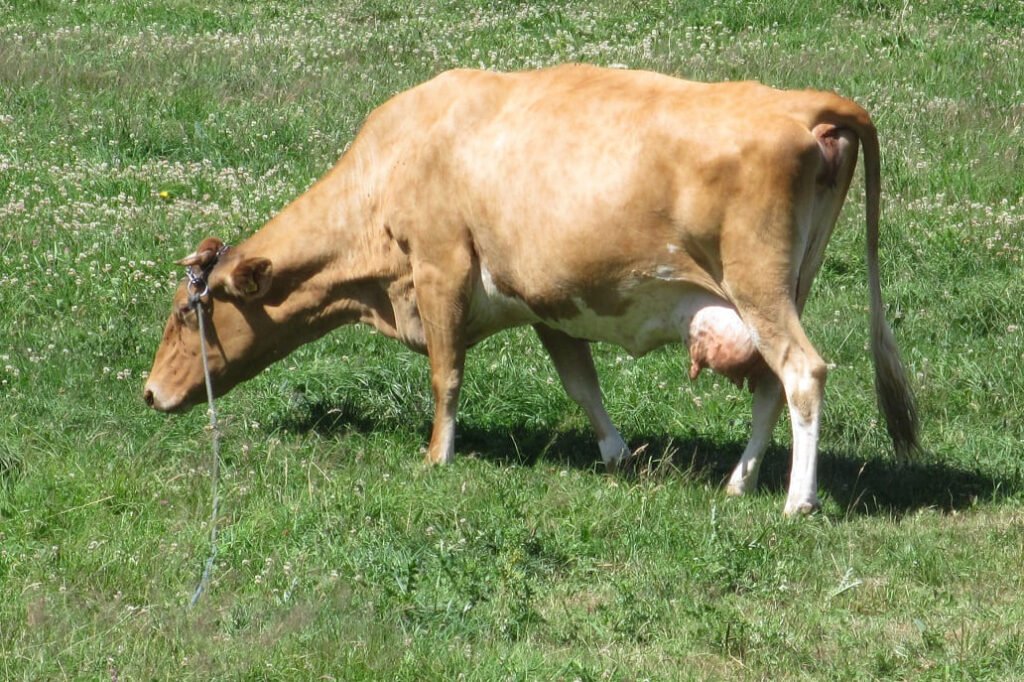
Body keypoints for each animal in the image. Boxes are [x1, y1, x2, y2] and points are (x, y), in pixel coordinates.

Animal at [144, 64, 919, 515]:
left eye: (186, 312)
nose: (149, 393)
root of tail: (803, 103)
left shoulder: (440, 269)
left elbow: (446, 376)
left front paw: (437, 457)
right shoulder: (548, 299)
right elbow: (581, 384)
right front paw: (617, 455)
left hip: (758, 283)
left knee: (803, 372)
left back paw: (796, 502)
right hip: (781, 288)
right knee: (768, 384)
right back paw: (740, 482)